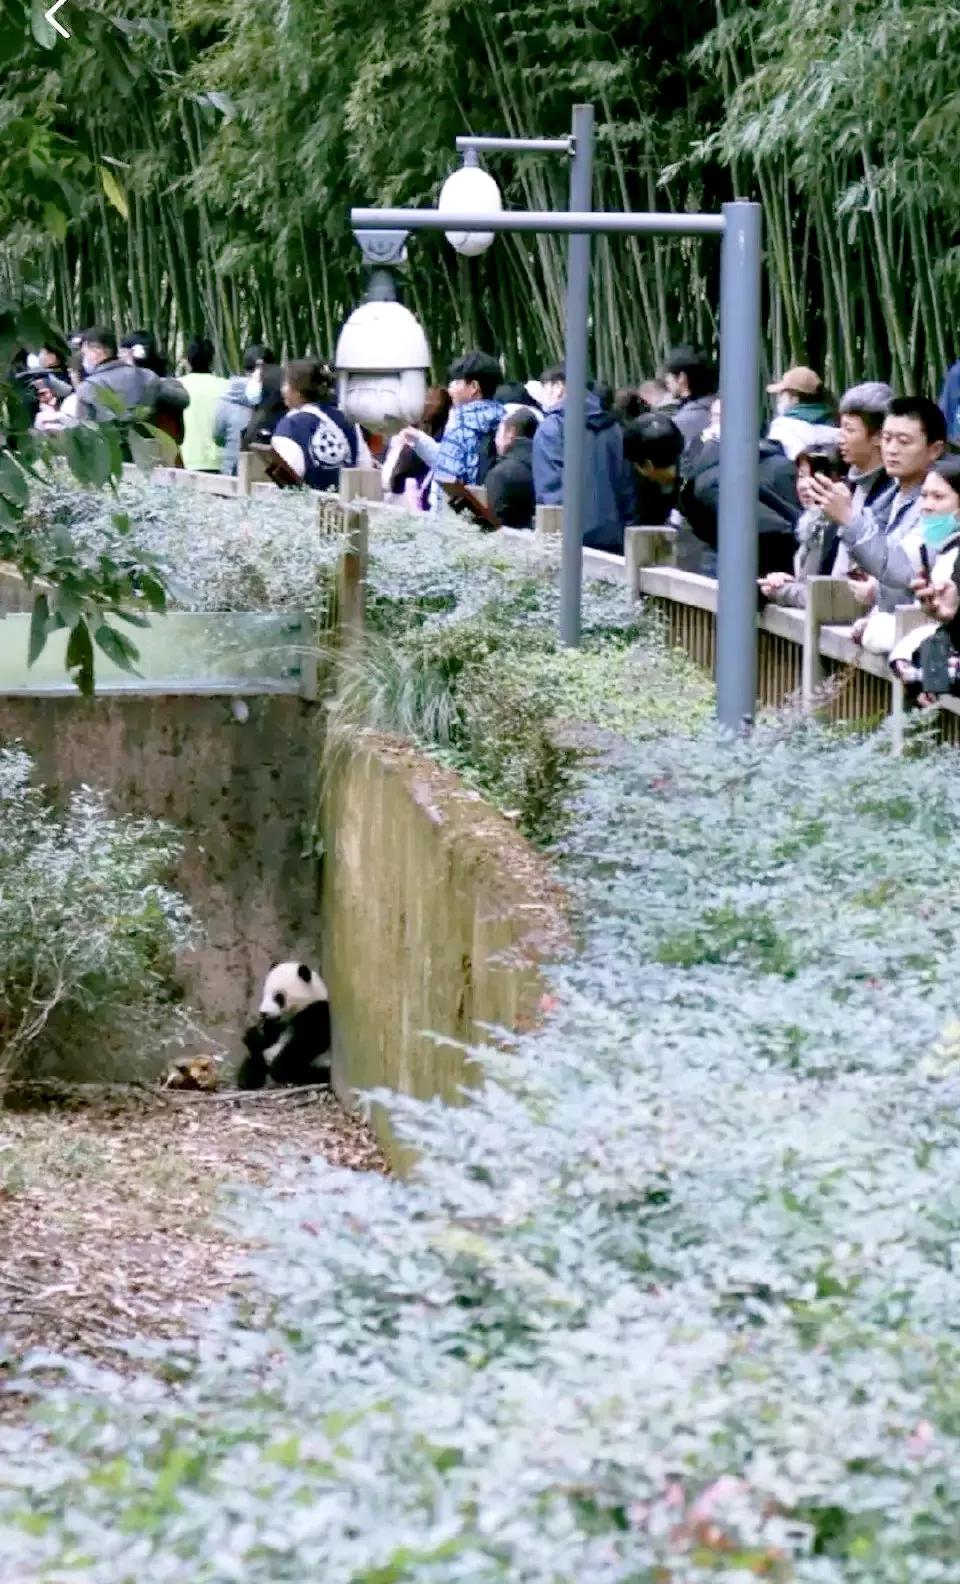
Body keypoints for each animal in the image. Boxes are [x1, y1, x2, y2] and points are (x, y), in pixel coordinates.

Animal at [237, 962, 331, 1090]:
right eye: (264, 994)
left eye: (278, 997)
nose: (263, 1013)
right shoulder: (274, 1026)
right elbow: (263, 1039)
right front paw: (253, 1035)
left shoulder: (317, 1013)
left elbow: (304, 1042)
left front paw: (279, 1068)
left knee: (310, 1073)